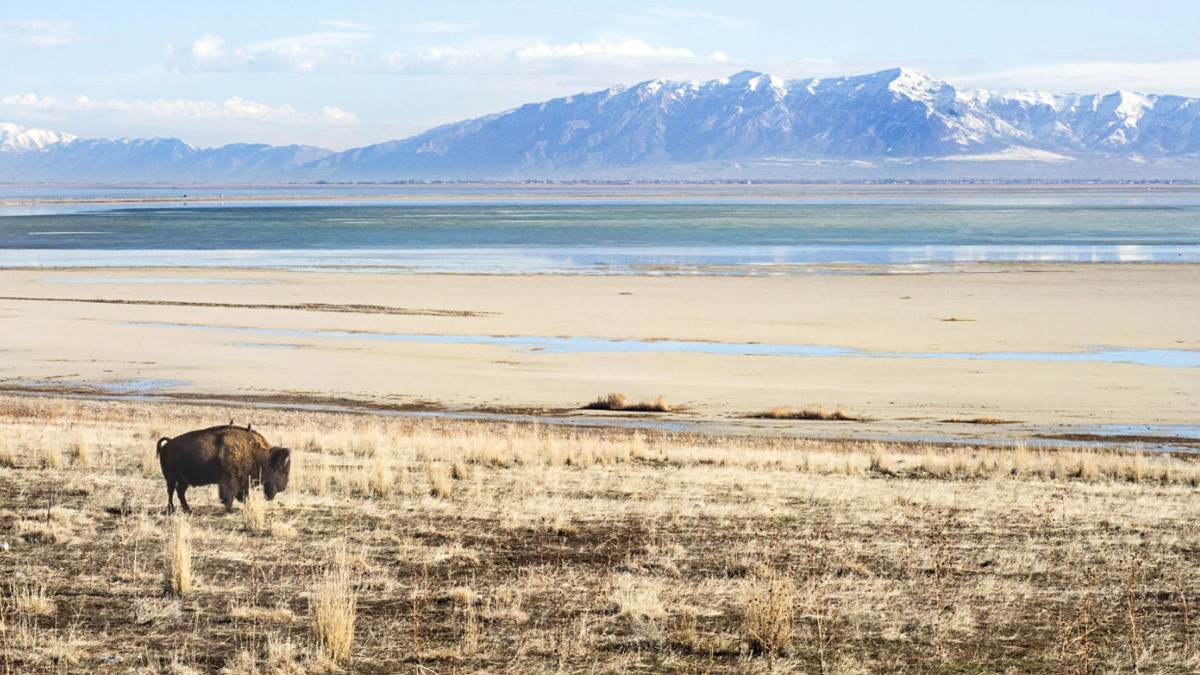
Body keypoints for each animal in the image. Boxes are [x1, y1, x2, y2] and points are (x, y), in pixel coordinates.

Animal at [156, 424, 291, 514]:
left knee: (180, 492)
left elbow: (244, 496)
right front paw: (230, 510)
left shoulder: (243, 482)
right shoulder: (230, 481)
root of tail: (167, 445)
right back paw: (172, 509)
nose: (283, 488)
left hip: (183, 480)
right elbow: (229, 496)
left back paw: (188, 510)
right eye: (283, 471)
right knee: (171, 492)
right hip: (171, 478)